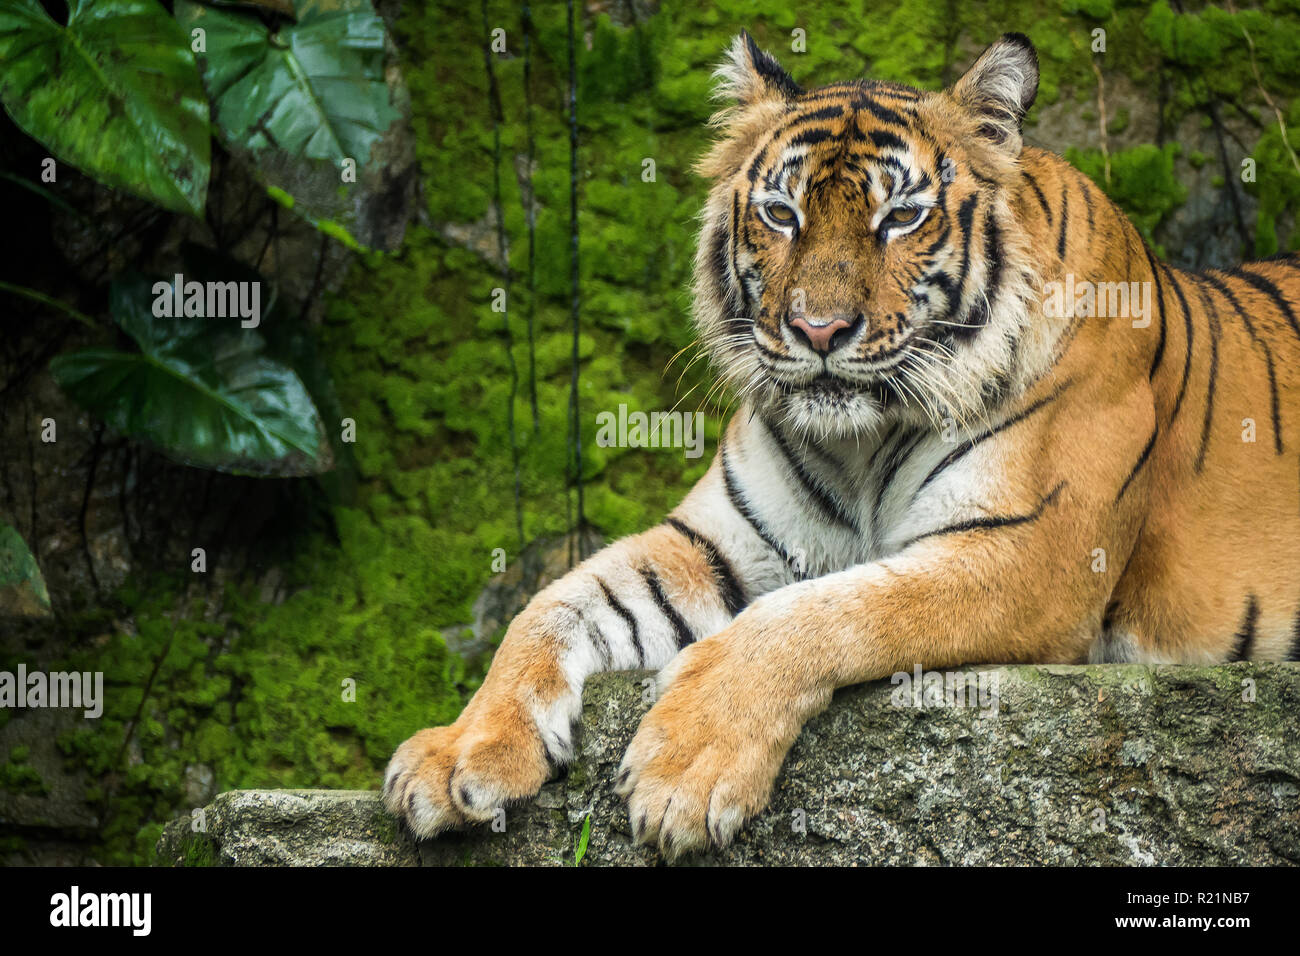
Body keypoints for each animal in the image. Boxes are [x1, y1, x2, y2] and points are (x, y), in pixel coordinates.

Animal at [384, 31, 1300, 859]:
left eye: (901, 218)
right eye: (781, 214)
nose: (818, 330)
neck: (864, 441)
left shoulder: (1030, 557)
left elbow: (829, 610)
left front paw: (685, 769)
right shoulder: (715, 542)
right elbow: (551, 605)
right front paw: (456, 755)